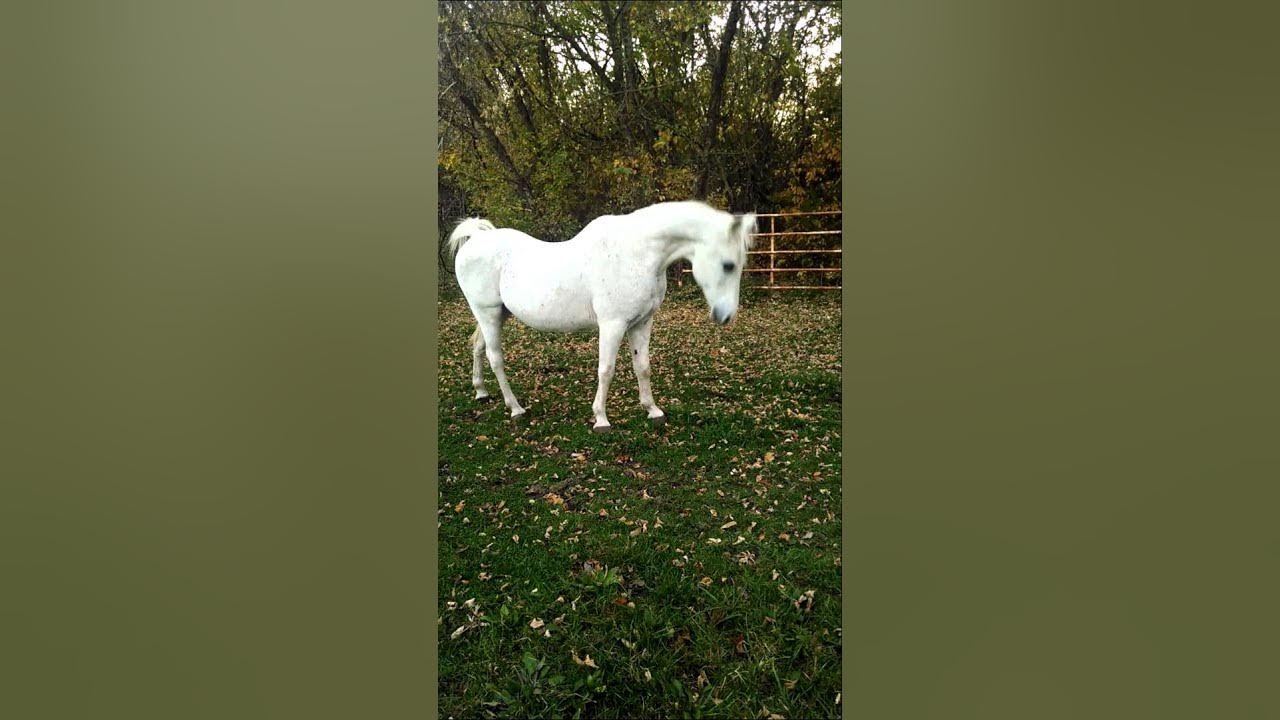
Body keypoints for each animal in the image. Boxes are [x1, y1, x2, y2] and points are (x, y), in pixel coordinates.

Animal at [446, 200, 756, 432]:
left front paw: (653, 410)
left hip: (497, 315)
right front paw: (601, 420)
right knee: (495, 358)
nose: (726, 316)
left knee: (478, 347)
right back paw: (516, 408)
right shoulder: (613, 325)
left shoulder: (642, 323)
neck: (637, 252)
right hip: (487, 314)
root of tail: (476, 239)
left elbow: (642, 366)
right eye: (728, 265)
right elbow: (606, 370)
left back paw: (481, 392)